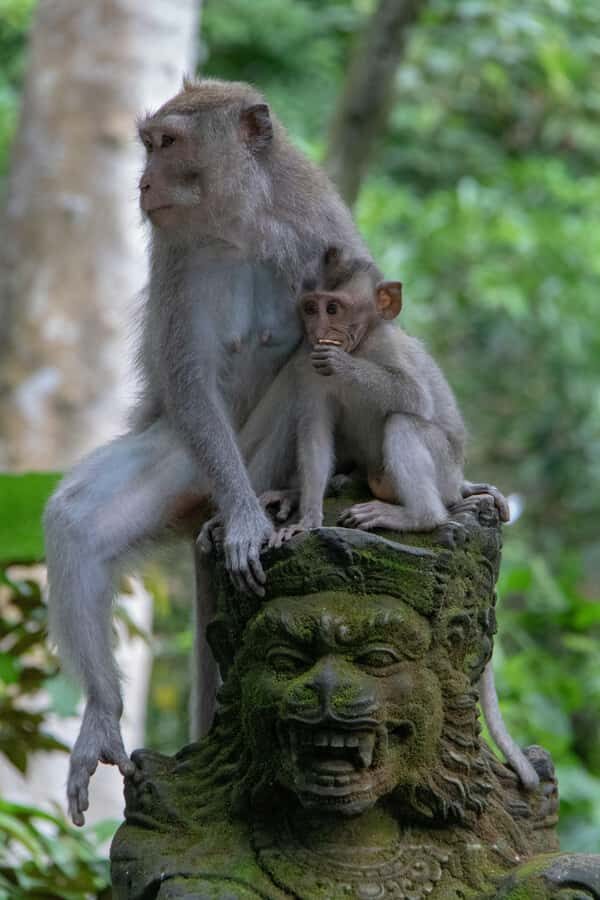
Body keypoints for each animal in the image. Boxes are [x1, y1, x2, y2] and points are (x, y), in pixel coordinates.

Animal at [43, 79, 369, 825]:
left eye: (168, 144)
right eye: (149, 146)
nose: (142, 182)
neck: (239, 223)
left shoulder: (321, 229)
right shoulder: (175, 255)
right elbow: (190, 376)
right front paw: (248, 522)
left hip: (254, 453)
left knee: (300, 382)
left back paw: (285, 498)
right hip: (195, 463)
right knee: (77, 523)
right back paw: (103, 713)